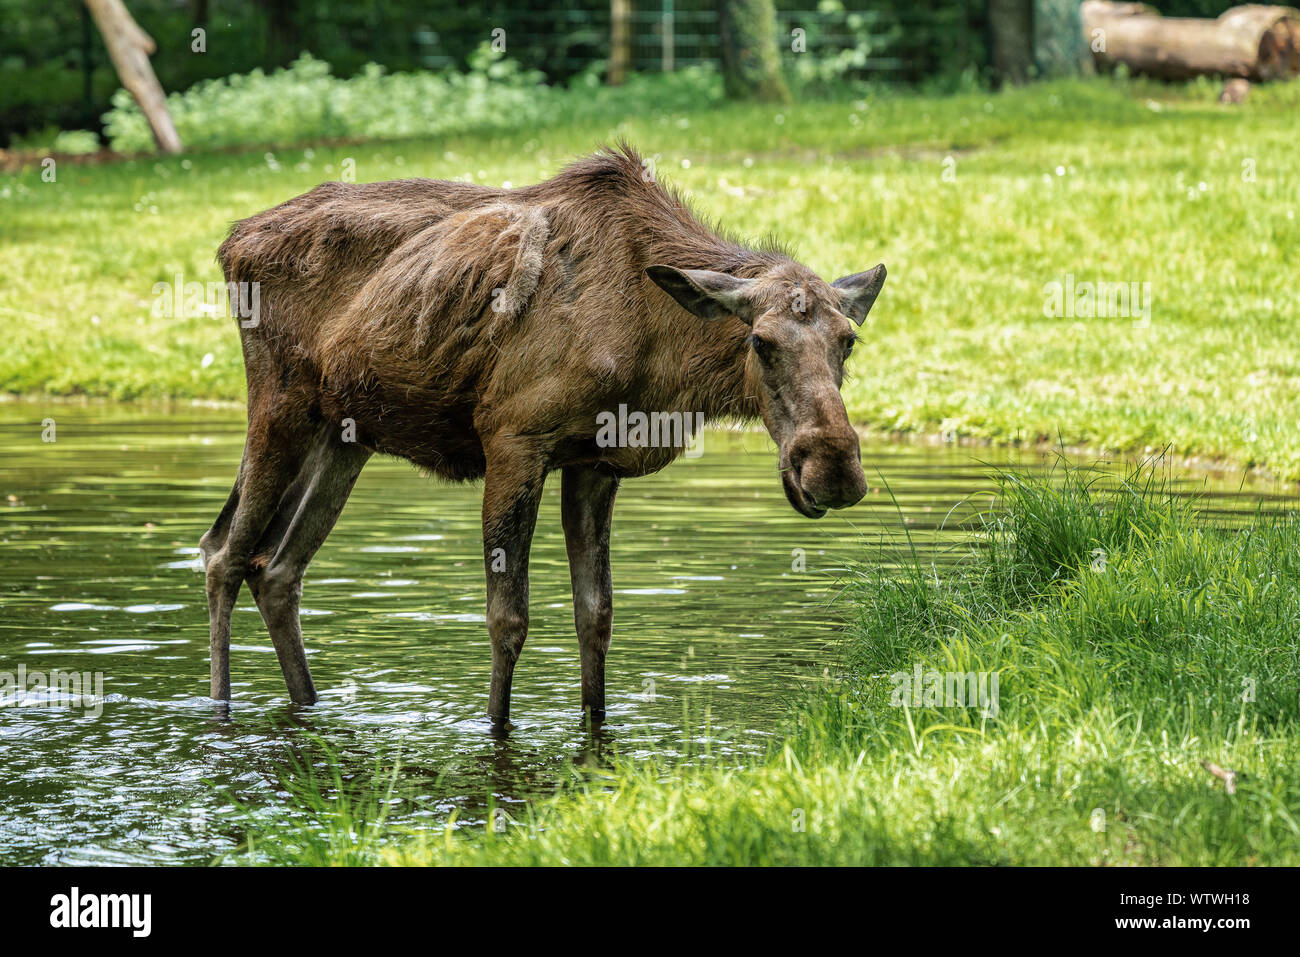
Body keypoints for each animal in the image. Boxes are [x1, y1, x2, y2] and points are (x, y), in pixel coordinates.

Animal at [200, 144, 887, 728]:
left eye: (848, 341)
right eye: (760, 342)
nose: (833, 468)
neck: (660, 356)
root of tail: (230, 242)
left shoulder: (595, 464)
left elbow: (596, 616)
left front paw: (593, 721)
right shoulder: (514, 441)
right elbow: (509, 619)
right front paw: (497, 728)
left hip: (346, 433)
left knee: (277, 568)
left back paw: (307, 705)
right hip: (278, 405)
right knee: (223, 554)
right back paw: (220, 713)